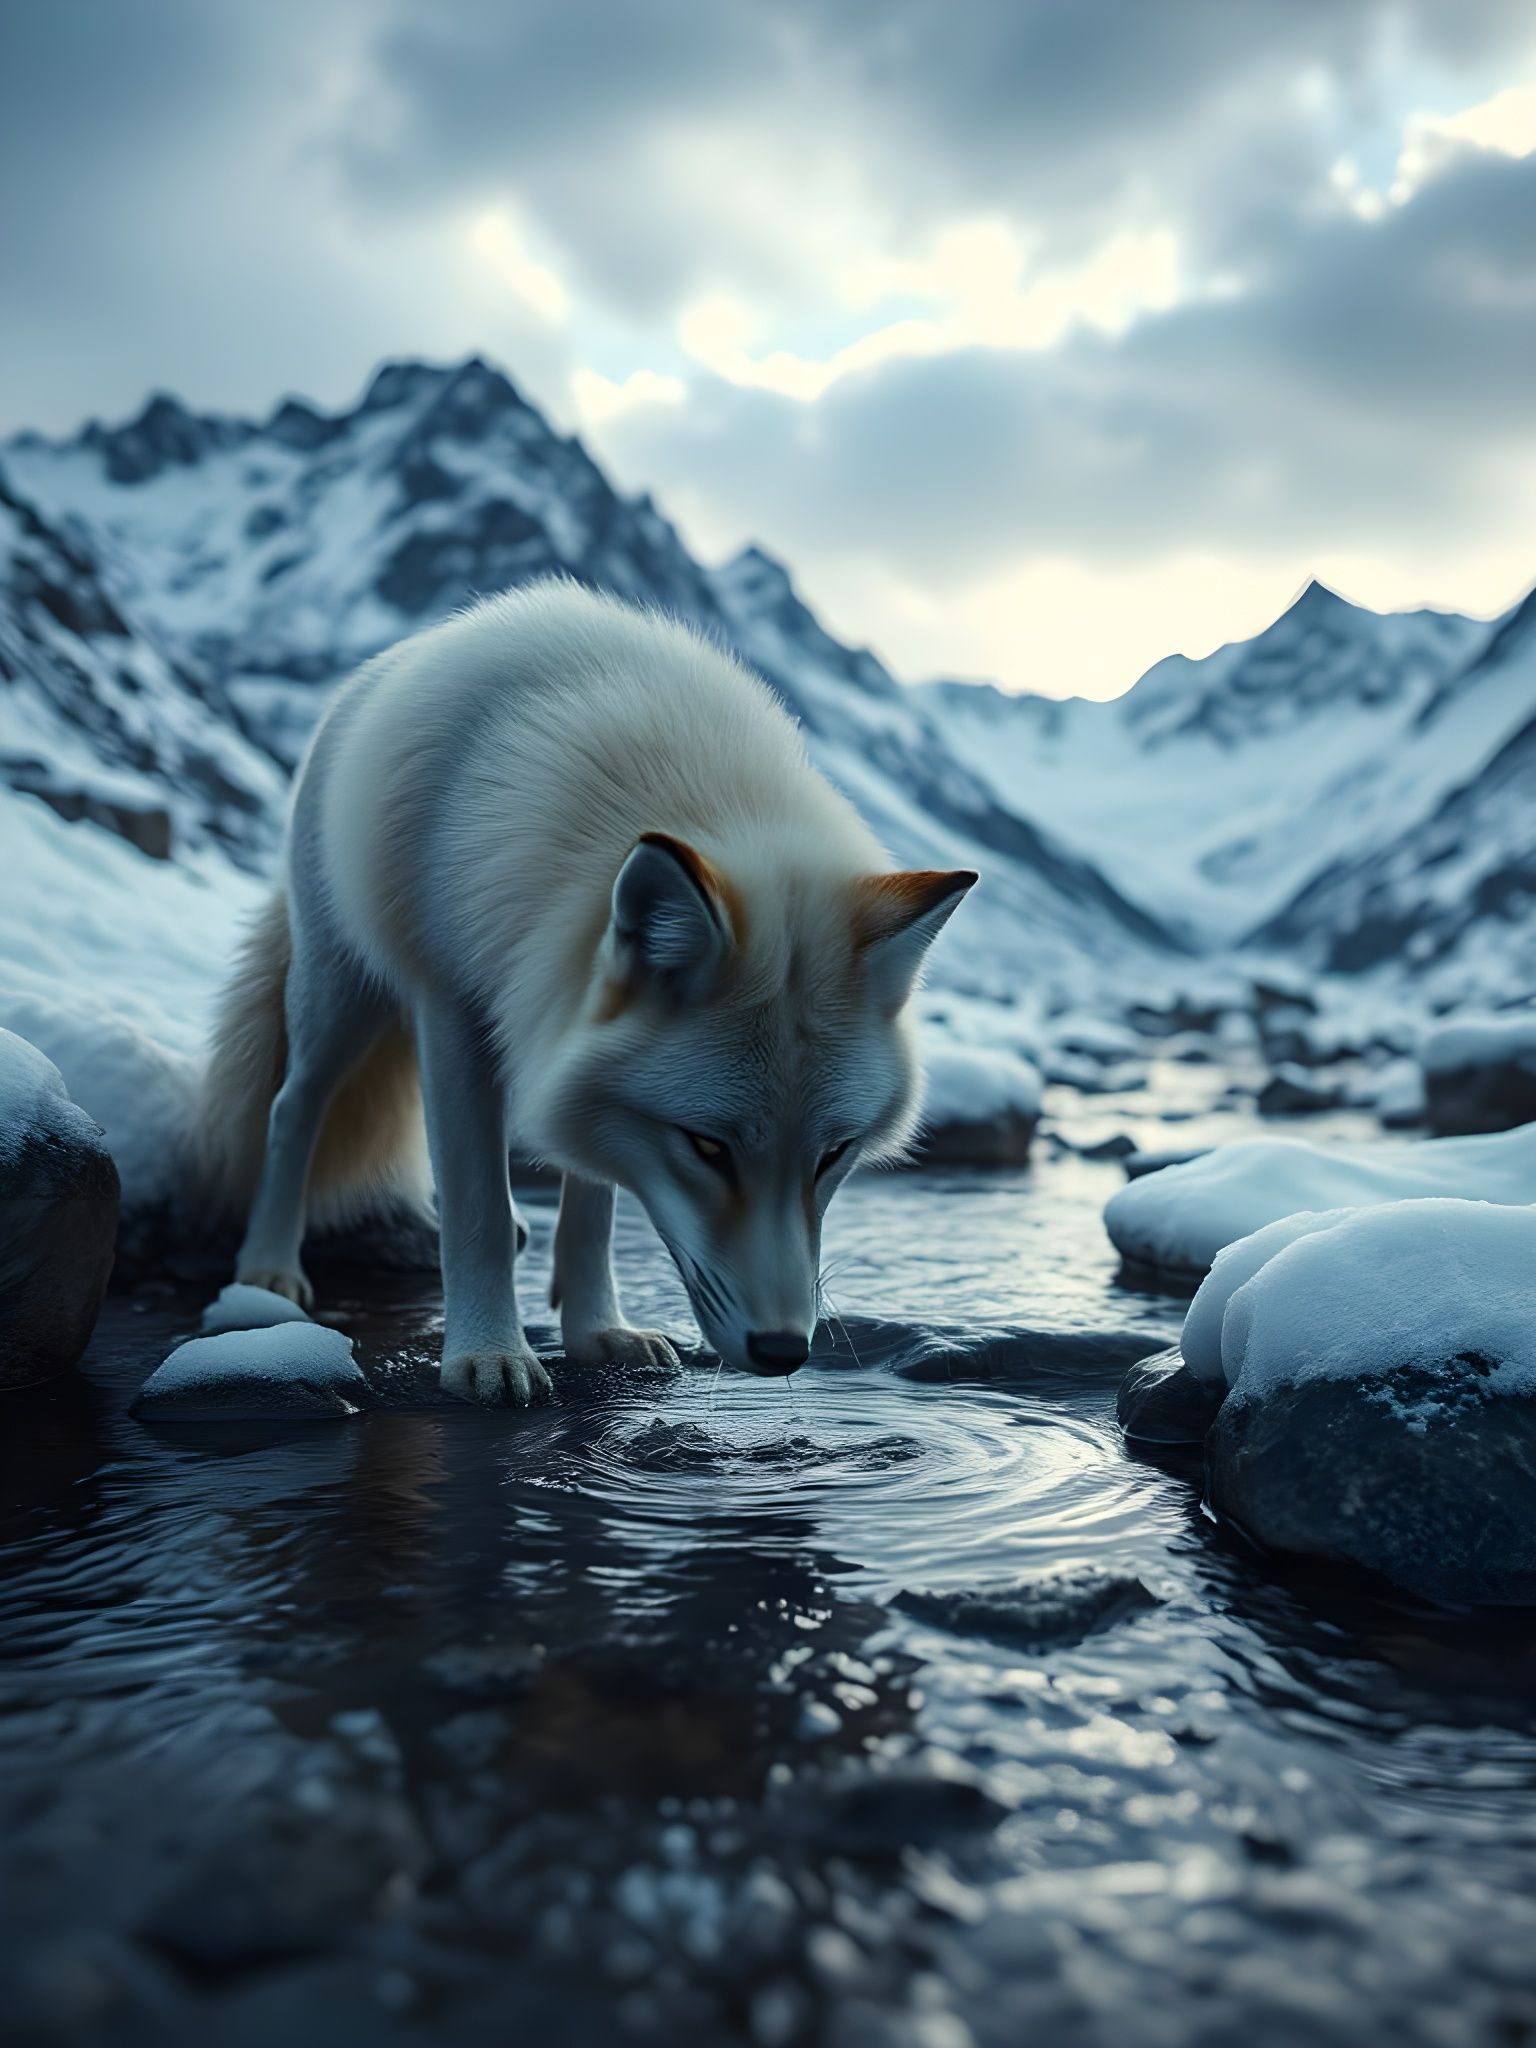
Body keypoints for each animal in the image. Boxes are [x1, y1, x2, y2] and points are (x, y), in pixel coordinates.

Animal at [197, 580, 976, 1404]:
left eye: (832, 1155)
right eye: (707, 1146)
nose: (783, 1352)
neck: (673, 778)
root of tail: (371, 675)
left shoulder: (578, 1054)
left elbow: (592, 1200)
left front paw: (598, 1331)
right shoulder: (454, 1009)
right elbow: (477, 1205)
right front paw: (488, 1353)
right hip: (340, 1001)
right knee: (293, 1108)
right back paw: (268, 1271)